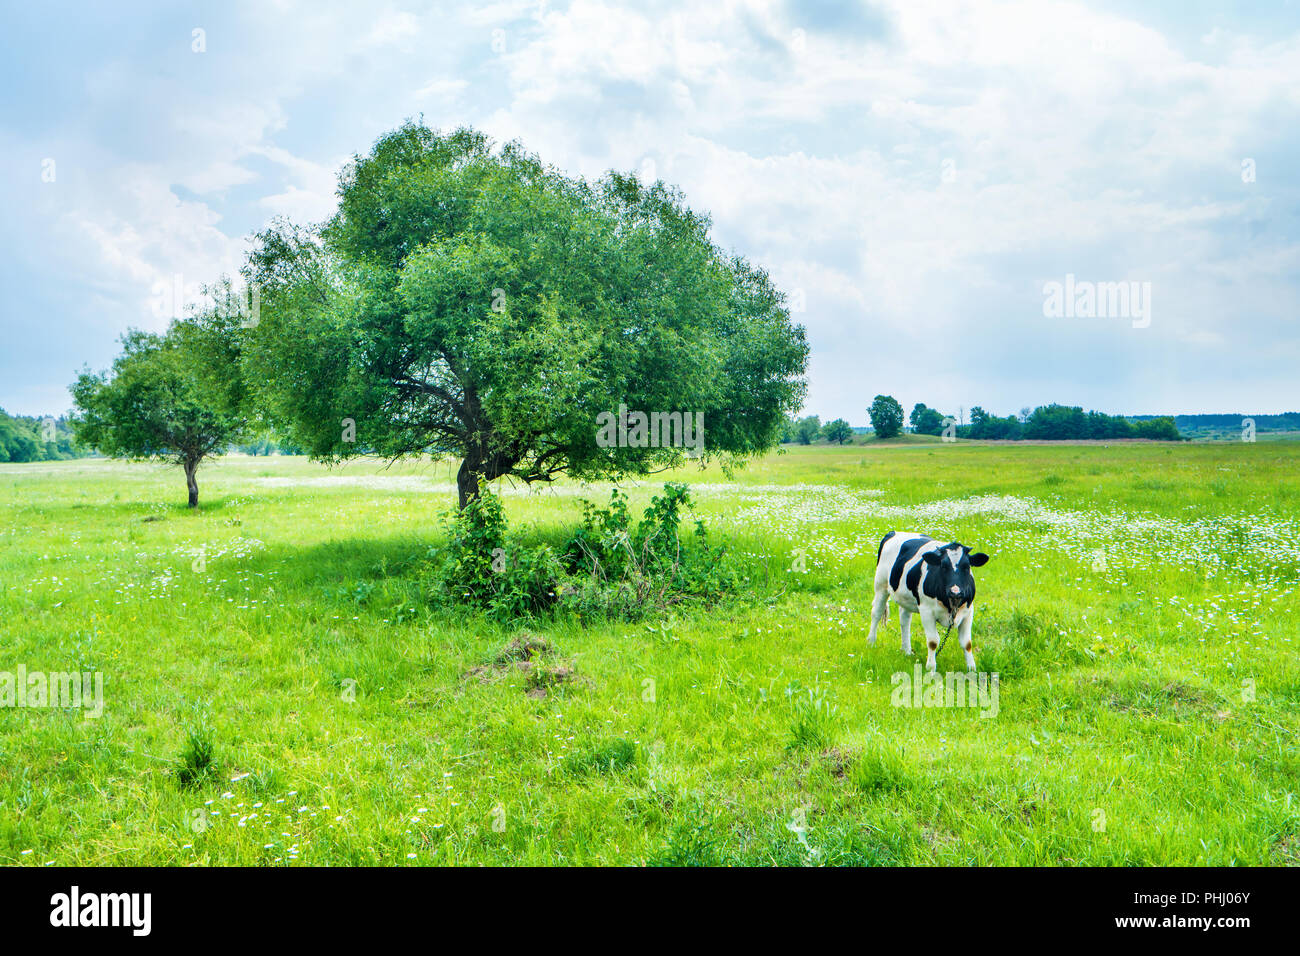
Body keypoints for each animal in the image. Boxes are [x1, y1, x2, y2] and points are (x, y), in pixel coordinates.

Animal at [867, 531, 990, 672]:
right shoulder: (926, 611)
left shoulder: (968, 611)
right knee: (876, 613)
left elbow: (967, 643)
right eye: (943, 566)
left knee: (904, 620)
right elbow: (933, 641)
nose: (955, 591)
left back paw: (907, 650)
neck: (950, 603)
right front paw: (931, 668)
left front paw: (971, 669)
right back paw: (871, 642)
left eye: (966, 566)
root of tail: (894, 532)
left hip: (905, 596)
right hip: (880, 585)